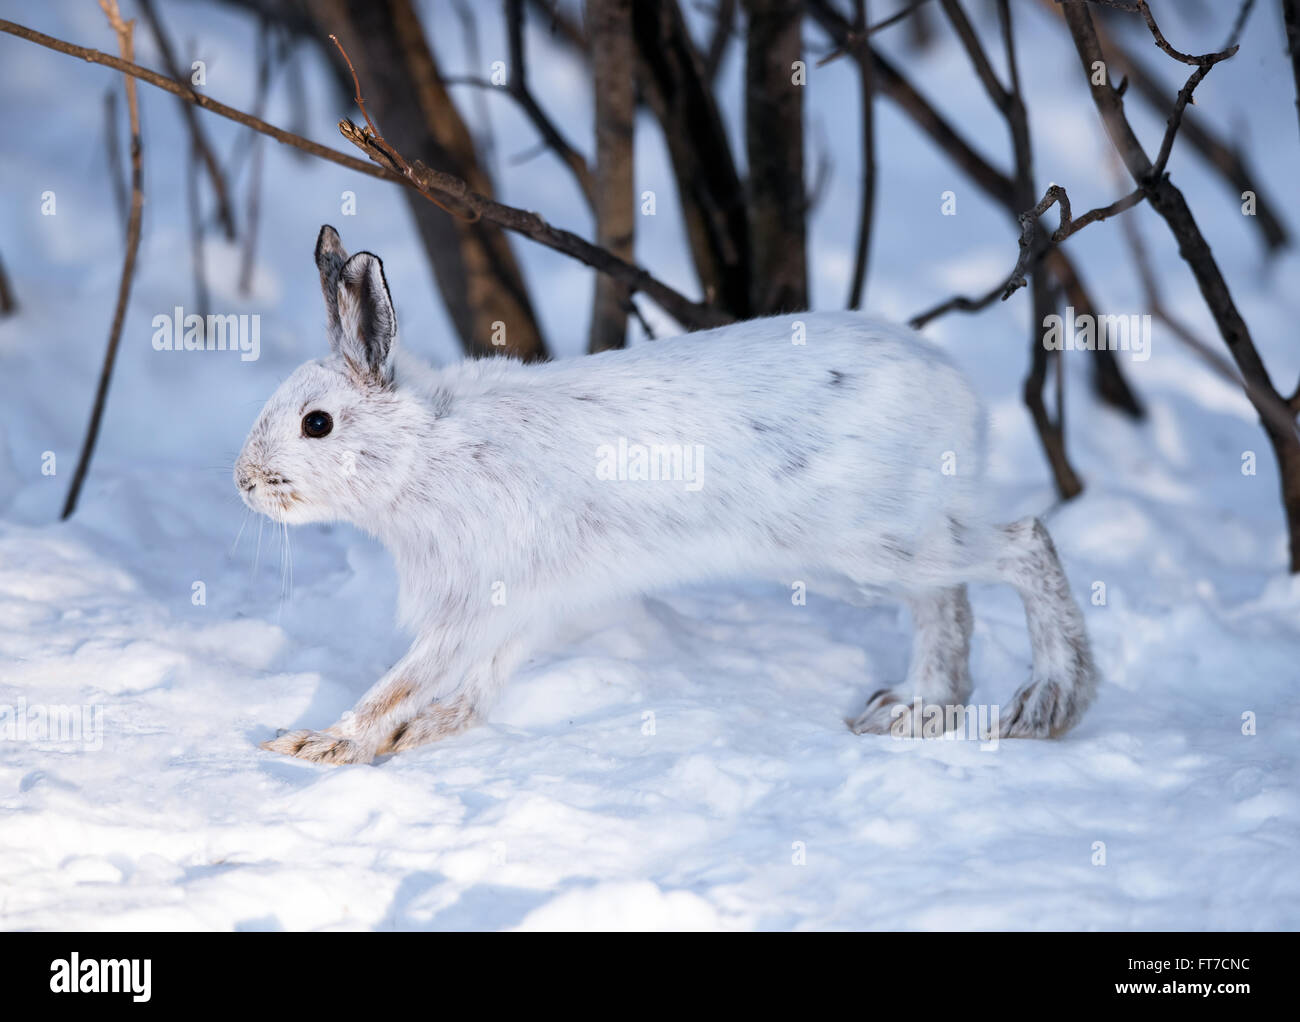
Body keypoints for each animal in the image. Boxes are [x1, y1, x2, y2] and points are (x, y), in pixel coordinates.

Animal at [234, 225, 1097, 764]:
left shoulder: (478, 596)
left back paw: (1049, 702)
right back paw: (918, 708)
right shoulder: (521, 602)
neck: (426, 448)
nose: (243, 482)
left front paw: (324, 743)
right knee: (945, 599)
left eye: (317, 424)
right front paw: (424, 733)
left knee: (1024, 542)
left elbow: (407, 678)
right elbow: (479, 683)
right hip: (865, 556)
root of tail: (960, 394)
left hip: (869, 541)